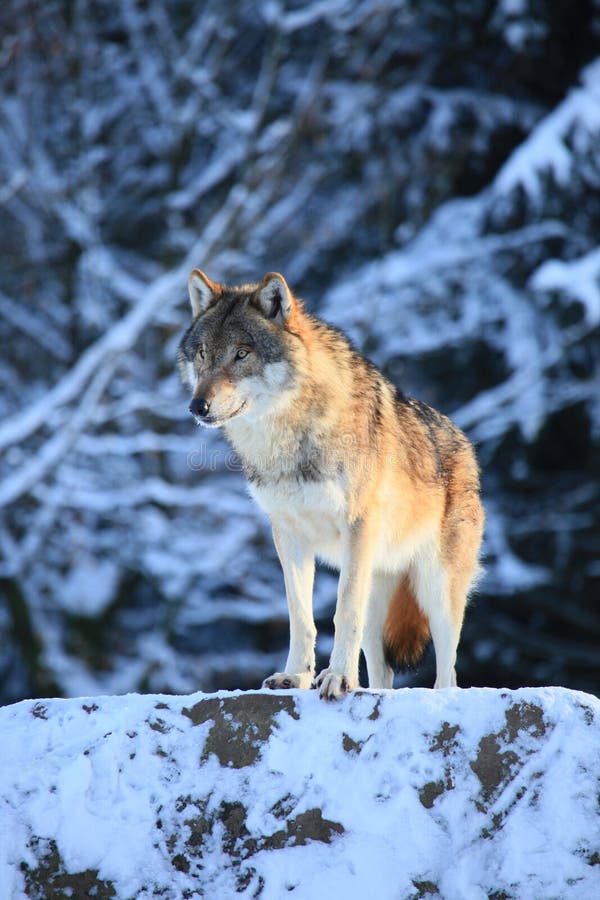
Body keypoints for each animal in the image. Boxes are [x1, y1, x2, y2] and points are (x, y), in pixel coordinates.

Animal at [178, 270, 484, 700]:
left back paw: (438, 698)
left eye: (242, 353)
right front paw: (296, 677)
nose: (197, 406)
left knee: (449, 667)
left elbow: (342, 611)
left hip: (436, 588)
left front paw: (336, 678)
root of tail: (465, 444)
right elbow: (301, 617)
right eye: (203, 353)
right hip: (379, 599)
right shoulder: (288, 535)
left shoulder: (355, 527)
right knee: (383, 672)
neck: (287, 439)